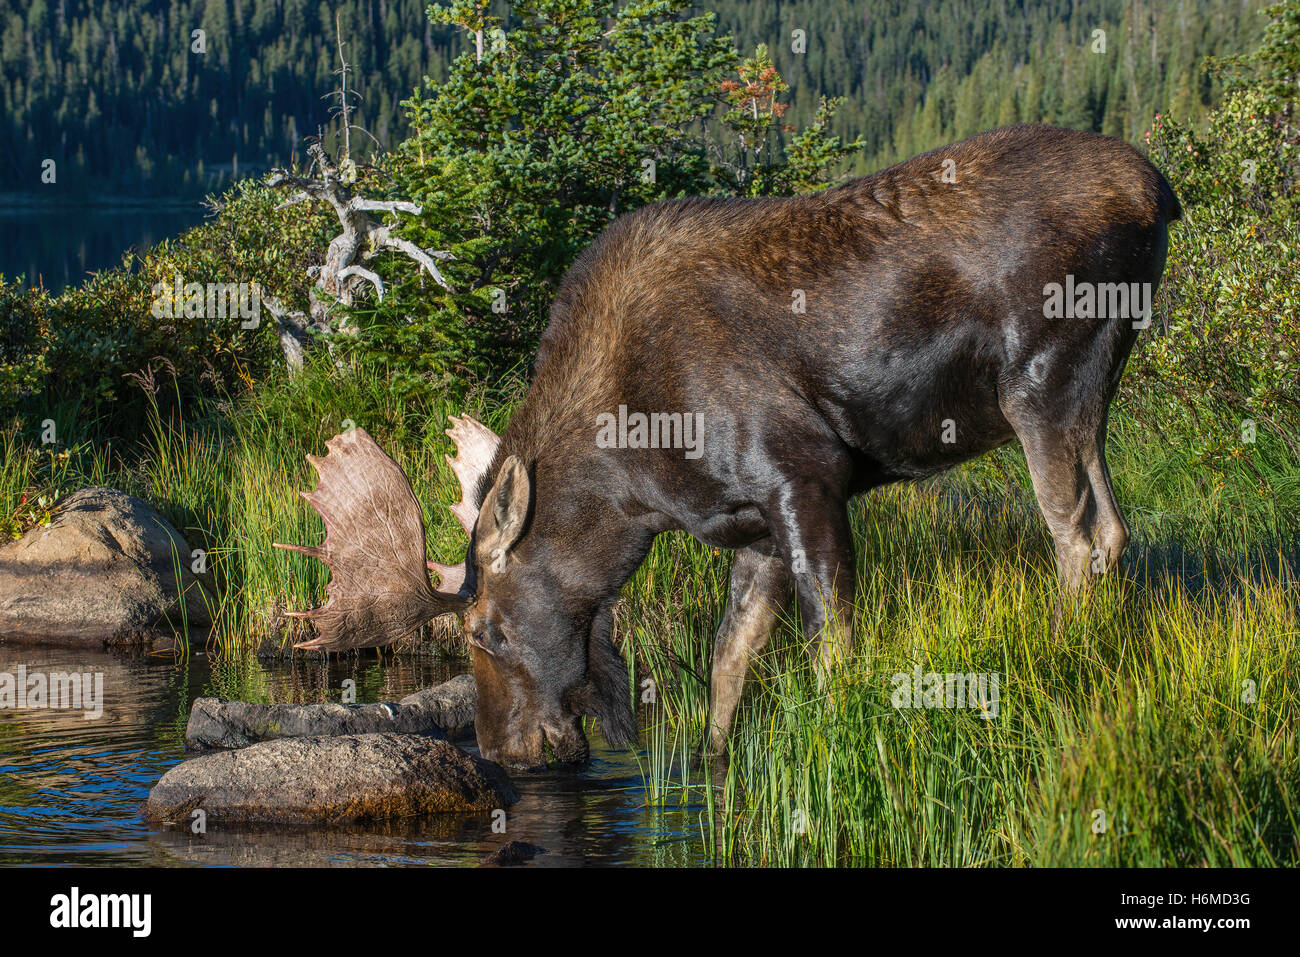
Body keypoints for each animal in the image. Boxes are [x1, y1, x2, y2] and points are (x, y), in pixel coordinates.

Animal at [276, 125, 1181, 769]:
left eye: (484, 632)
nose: (501, 750)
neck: (636, 480)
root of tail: (1160, 192)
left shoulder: (804, 475)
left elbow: (831, 644)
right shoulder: (749, 522)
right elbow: (727, 661)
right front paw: (711, 761)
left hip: (1042, 378)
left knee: (1076, 533)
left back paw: (1062, 655)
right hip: (1097, 385)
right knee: (1115, 525)